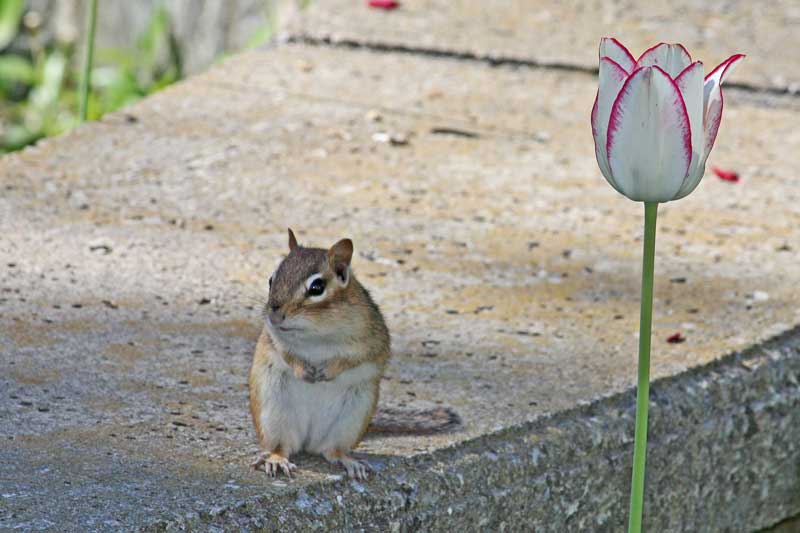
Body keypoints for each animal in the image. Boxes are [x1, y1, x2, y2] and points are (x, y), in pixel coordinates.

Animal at [249, 229, 459, 479]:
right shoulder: (273, 338)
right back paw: (277, 459)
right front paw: (304, 370)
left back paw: (349, 462)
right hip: (273, 414)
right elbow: (285, 353)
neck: (317, 333)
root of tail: (308, 441)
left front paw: (328, 371)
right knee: (282, 446)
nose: (274, 315)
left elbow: (353, 358)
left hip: (352, 418)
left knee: (332, 451)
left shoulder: (370, 340)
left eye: (316, 288)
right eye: (271, 279)